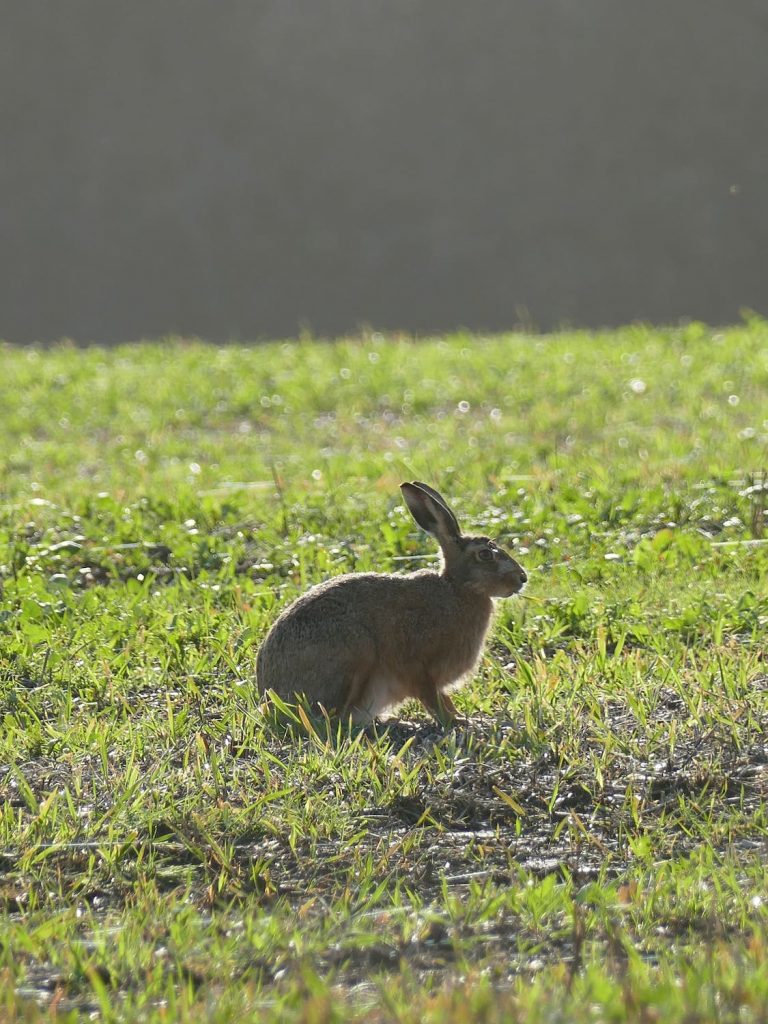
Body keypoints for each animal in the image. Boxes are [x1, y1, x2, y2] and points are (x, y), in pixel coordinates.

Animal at [255, 481, 527, 725]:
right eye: (485, 554)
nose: (522, 579)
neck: (457, 587)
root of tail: (270, 699)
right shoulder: (417, 665)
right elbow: (431, 697)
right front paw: (457, 722)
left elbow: (443, 698)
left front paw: (463, 717)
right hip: (355, 651)